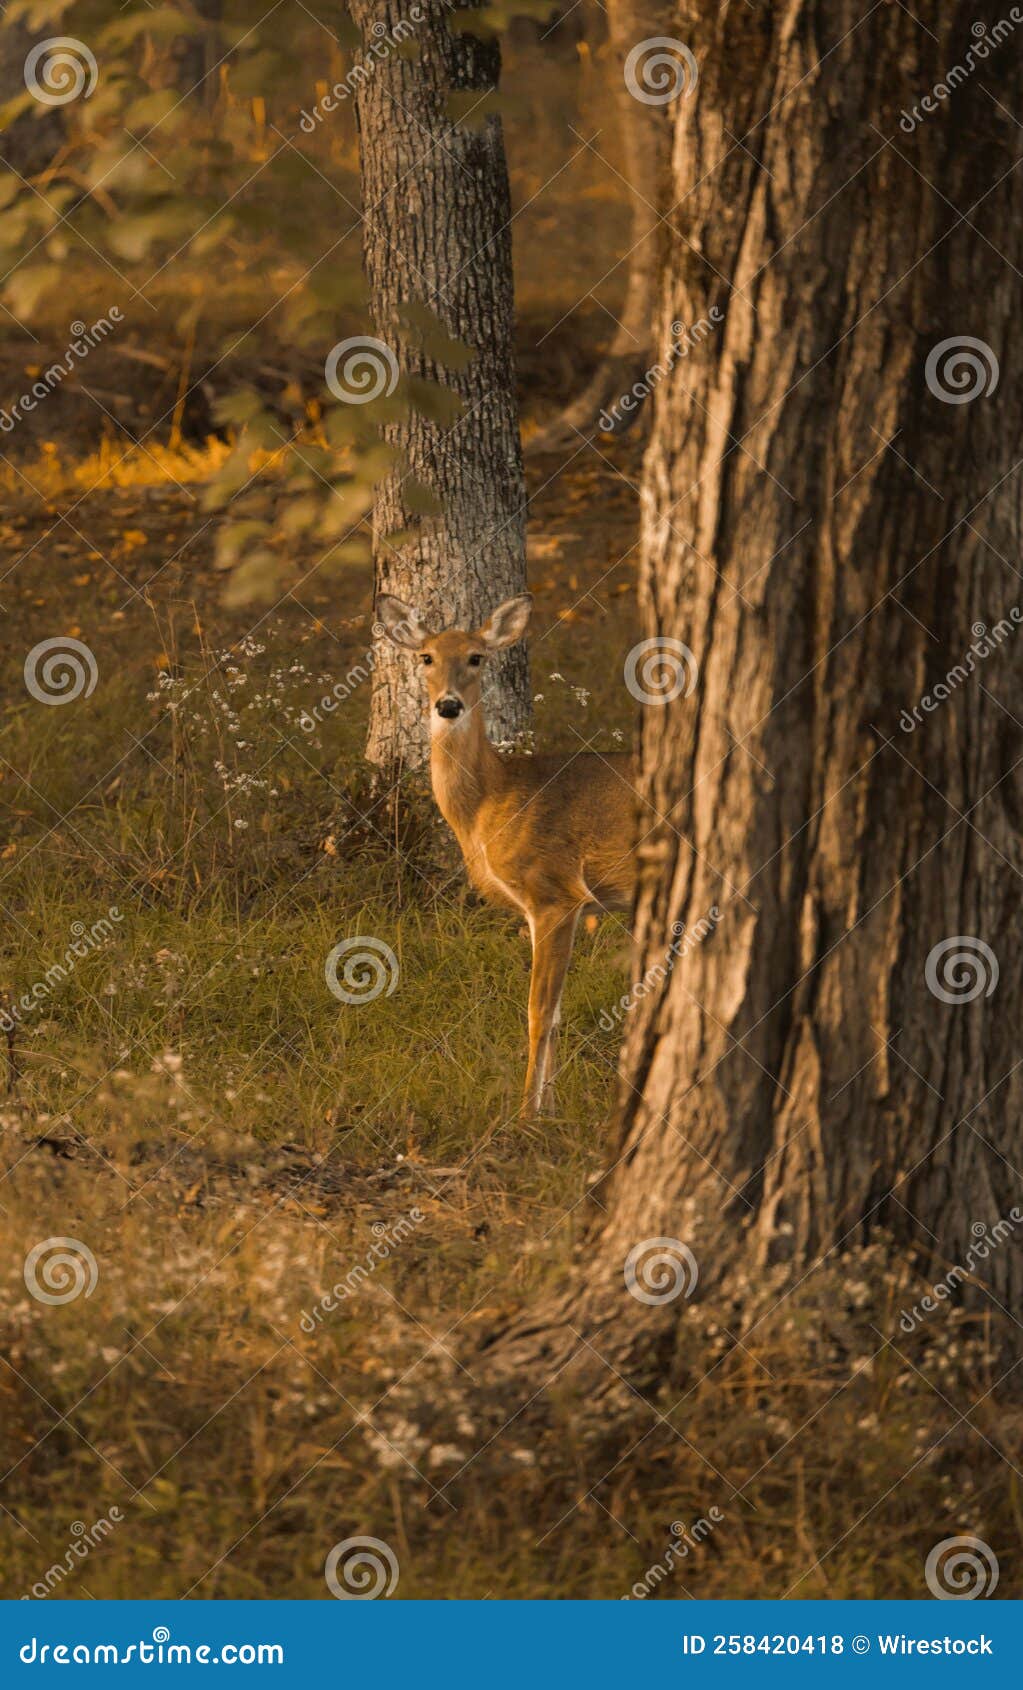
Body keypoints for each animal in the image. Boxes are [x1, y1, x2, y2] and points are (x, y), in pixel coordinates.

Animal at [376, 592, 643, 1117]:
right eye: (426, 657)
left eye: (476, 657)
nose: (449, 705)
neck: (487, 800)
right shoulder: (555, 908)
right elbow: (556, 1014)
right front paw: (551, 1109)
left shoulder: (554, 891)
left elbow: (538, 1011)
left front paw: (524, 1114)